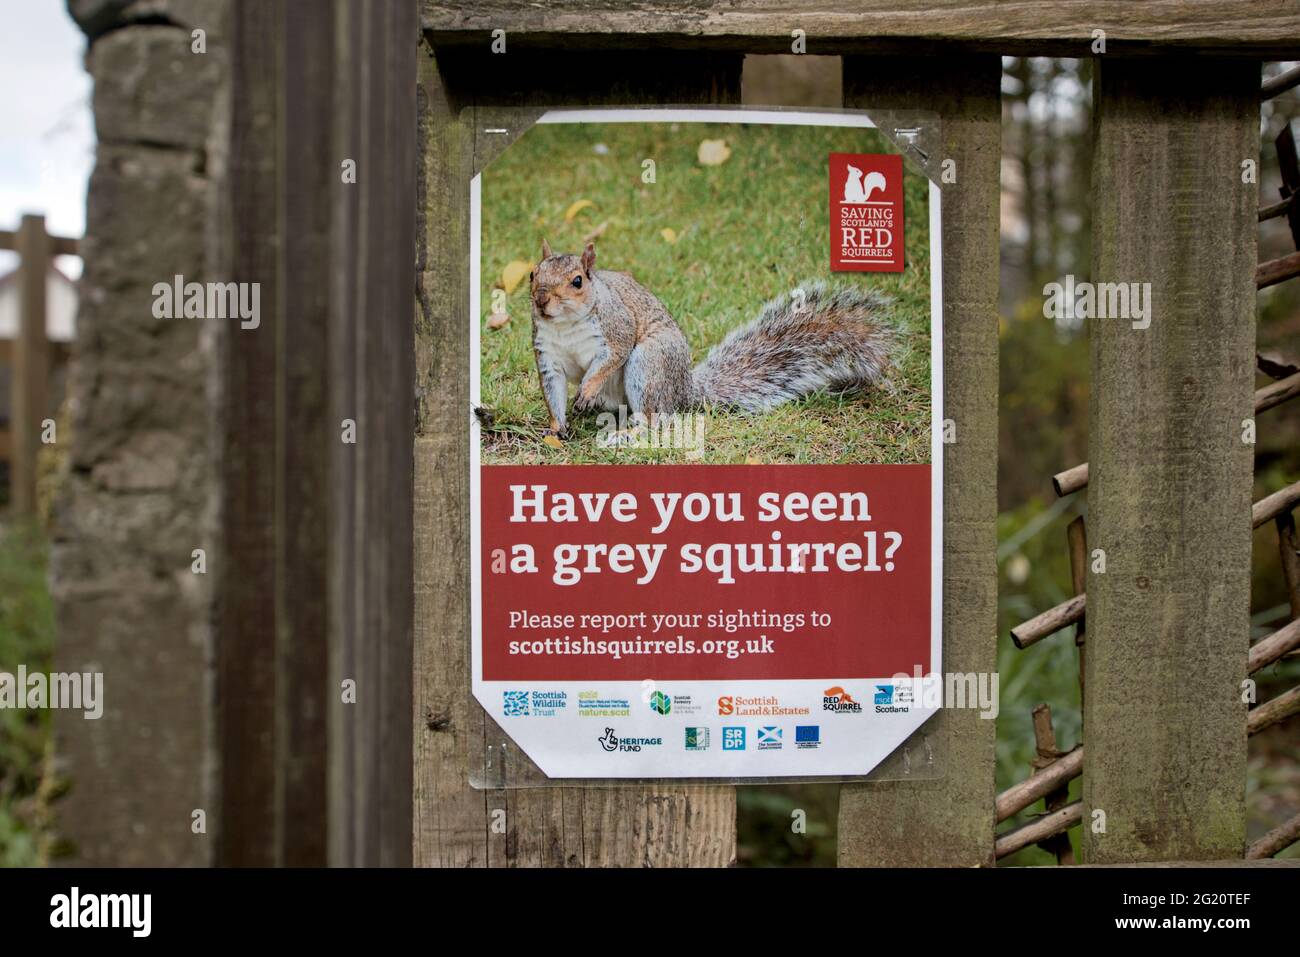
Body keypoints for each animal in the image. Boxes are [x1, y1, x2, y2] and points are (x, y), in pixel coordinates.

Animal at [528, 238, 895, 435]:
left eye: (577, 281)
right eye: (532, 273)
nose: (541, 300)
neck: (565, 325)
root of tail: (684, 390)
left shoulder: (616, 328)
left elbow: (611, 357)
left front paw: (586, 389)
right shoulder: (548, 357)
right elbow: (553, 393)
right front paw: (556, 429)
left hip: (649, 363)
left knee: (655, 419)